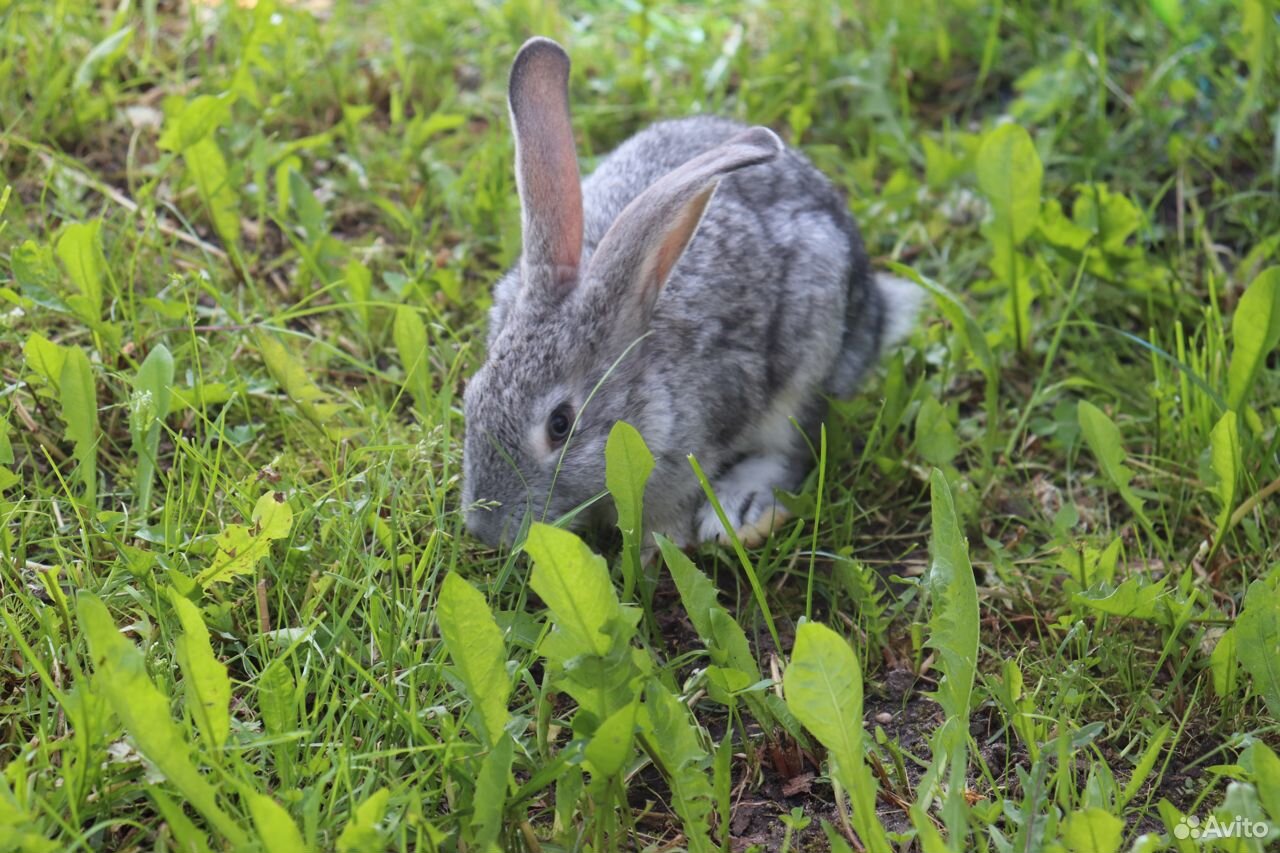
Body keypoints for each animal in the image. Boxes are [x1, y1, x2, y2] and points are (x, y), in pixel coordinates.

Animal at [462, 37, 922, 549]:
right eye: (472, 393)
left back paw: (740, 509)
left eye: (560, 425)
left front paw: (658, 547)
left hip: (810, 354)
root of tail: (875, 312)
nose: (484, 530)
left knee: (797, 443)